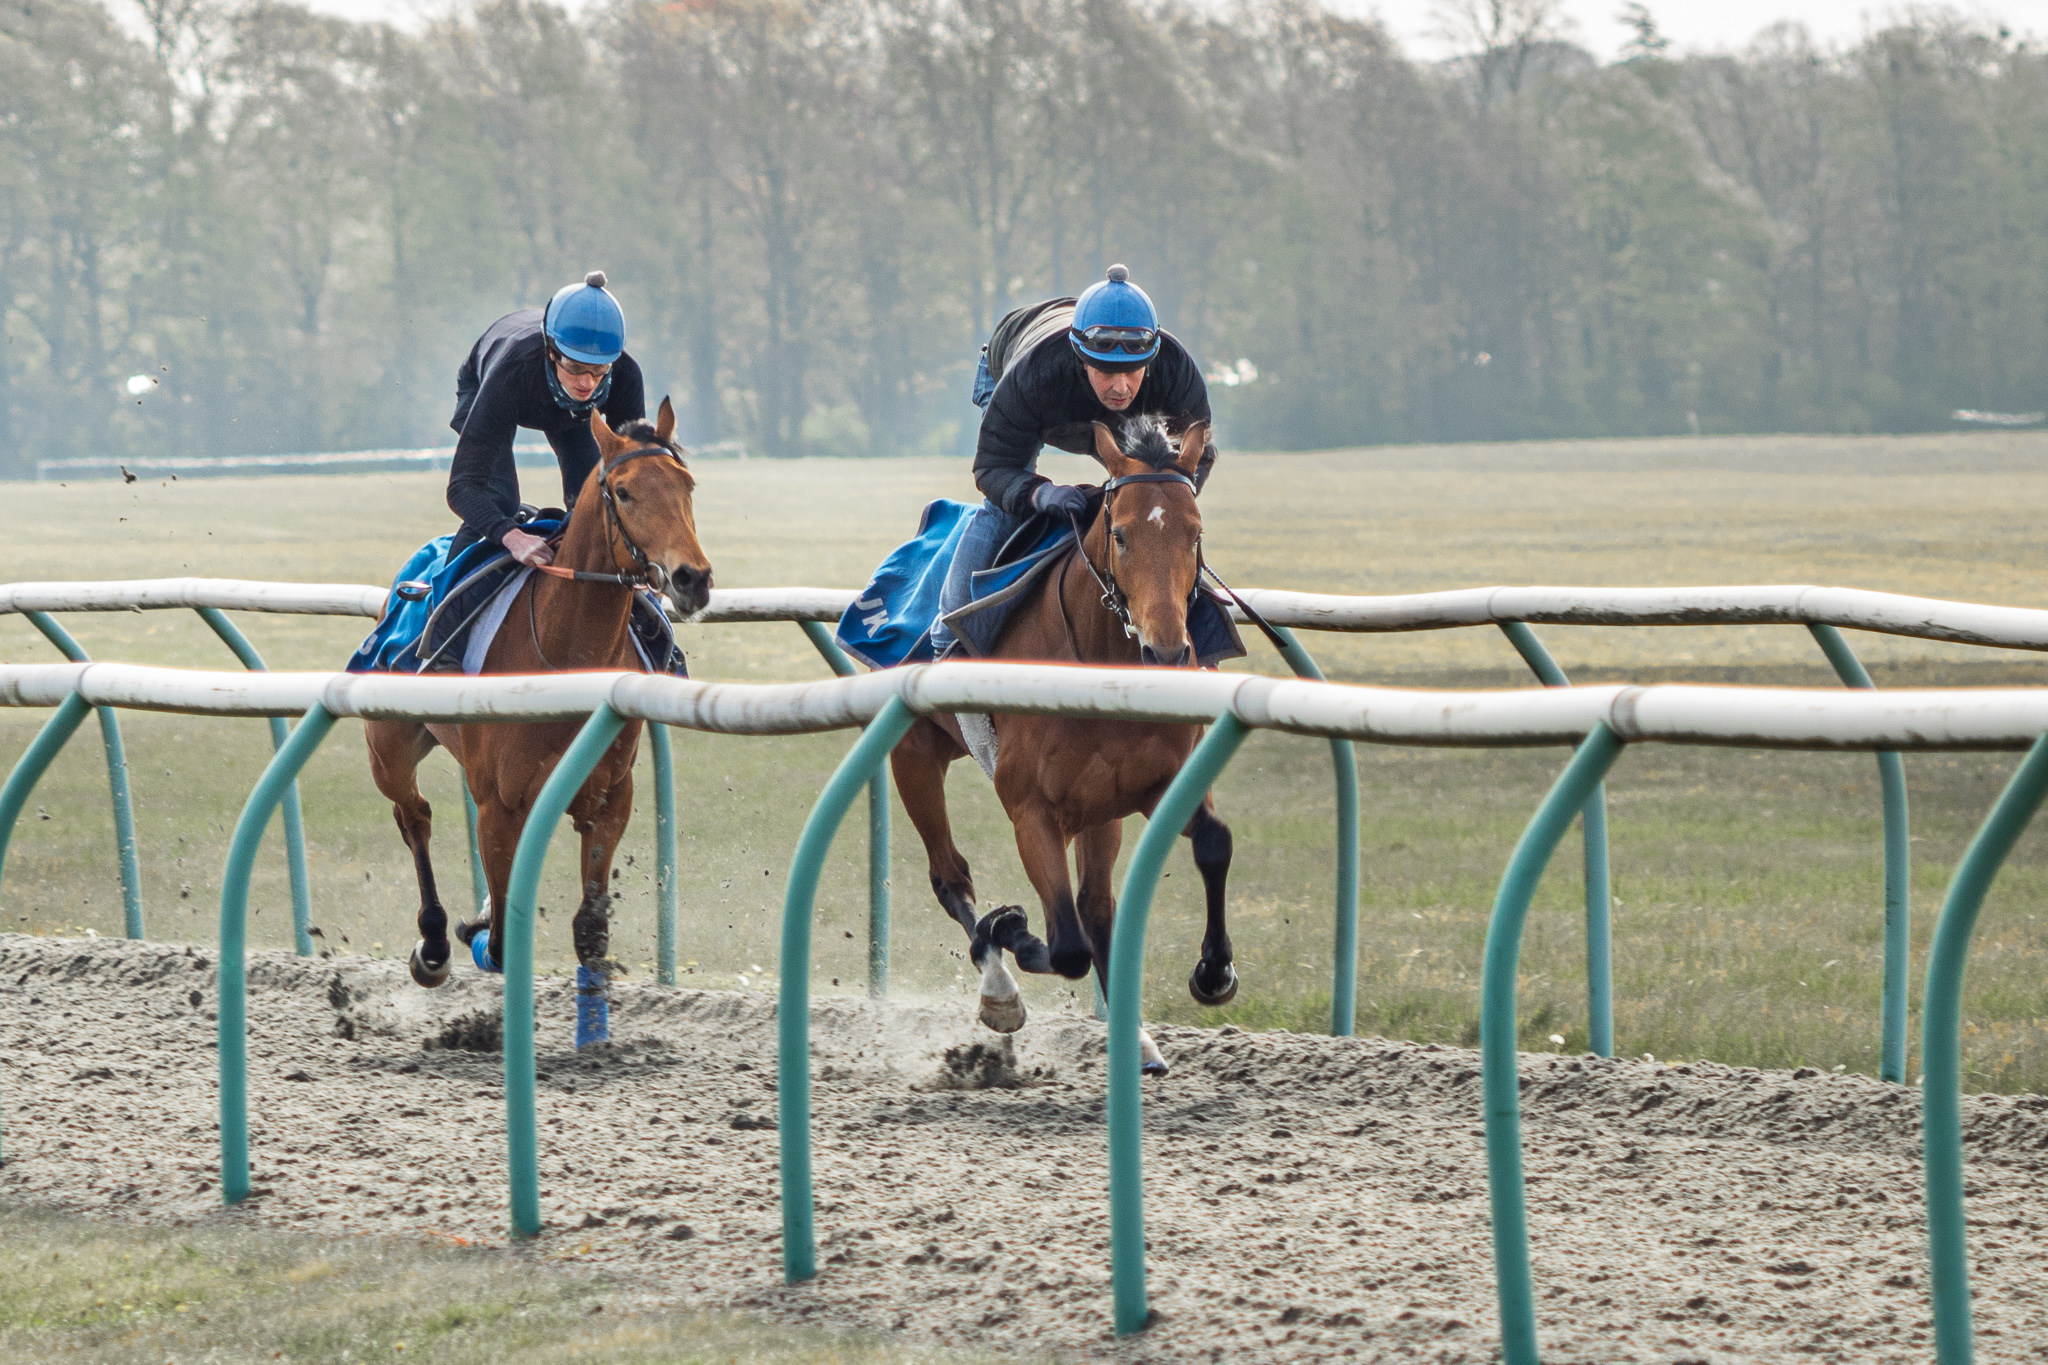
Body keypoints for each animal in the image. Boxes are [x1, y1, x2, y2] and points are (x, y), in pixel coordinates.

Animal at [365, 399, 712, 991]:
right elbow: (505, 941)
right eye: (623, 492)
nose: (693, 579)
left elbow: (589, 930)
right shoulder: (497, 805)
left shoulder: (607, 797)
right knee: (414, 816)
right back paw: (434, 941)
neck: (562, 658)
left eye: (687, 484)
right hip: (389, 749)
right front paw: (474, 931)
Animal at [891, 417, 1235, 1075]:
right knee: (951, 877)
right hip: (913, 753)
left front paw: (1214, 971)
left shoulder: (1155, 783)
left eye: (1197, 534)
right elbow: (1065, 944)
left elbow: (1213, 844)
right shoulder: (1032, 811)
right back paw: (999, 985)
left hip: (1100, 811)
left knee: (1097, 907)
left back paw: (1138, 1041)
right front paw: (1010, 929)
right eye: (1120, 535)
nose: (1166, 652)